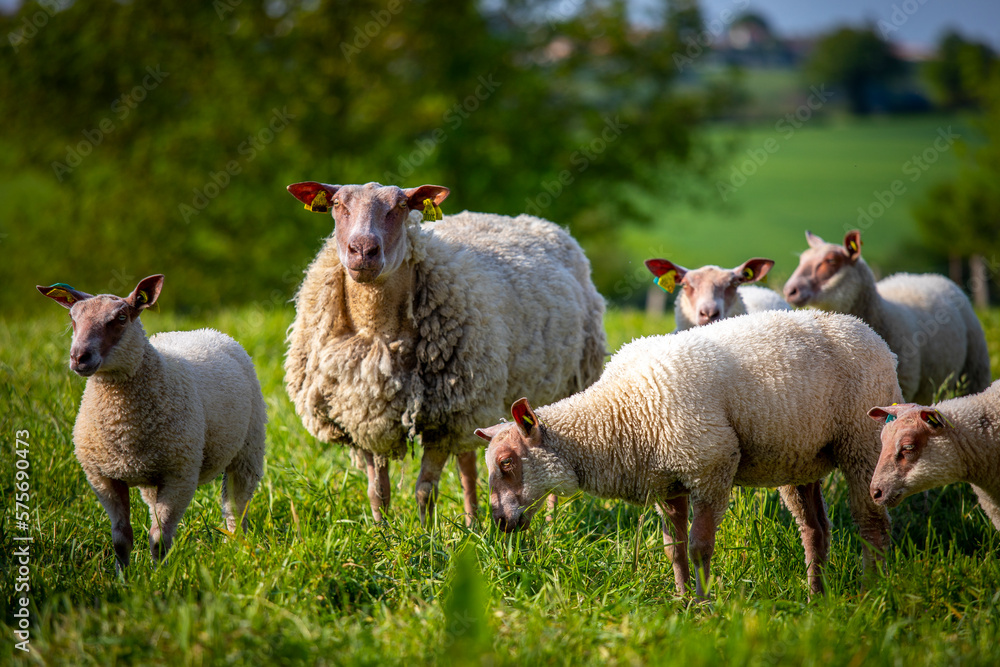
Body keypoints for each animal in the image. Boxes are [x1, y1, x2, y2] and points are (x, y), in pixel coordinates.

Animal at [38, 275, 267, 571]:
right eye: (72, 317)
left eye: (121, 318)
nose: (79, 357)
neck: (122, 424)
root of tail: (206, 330)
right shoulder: (103, 477)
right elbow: (121, 538)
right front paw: (123, 577)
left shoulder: (180, 473)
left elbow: (159, 538)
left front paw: (159, 577)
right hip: (151, 477)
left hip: (248, 450)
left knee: (235, 509)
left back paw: (238, 551)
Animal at [284, 181, 606, 526]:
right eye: (337, 204)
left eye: (401, 206)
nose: (363, 250)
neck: (377, 331)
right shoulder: (363, 416)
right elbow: (378, 491)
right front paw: (381, 531)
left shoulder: (443, 420)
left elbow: (425, 488)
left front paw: (425, 533)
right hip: (470, 403)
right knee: (468, 463)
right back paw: (472, 521)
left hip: (545, 386)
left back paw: (549, 520)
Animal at [475, 309, 902, 597]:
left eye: (507, 463)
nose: (498, 522)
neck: (617, 414)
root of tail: (872, 334)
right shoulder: (668, 482)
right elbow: (674, 550)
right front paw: (681, 601)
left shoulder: (711, 466)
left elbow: (698, 549)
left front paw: (704, 604)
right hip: (800, 457)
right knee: (814, 530)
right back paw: (816, 596)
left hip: (863, 444)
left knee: (872, 525)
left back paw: (870, 593)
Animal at [784, 230, 990, 404]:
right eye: (802, 259)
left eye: (832, 260)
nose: (790, 290)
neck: (881, 314)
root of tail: (933, 275)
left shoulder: (901, 384)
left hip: (974, 372)